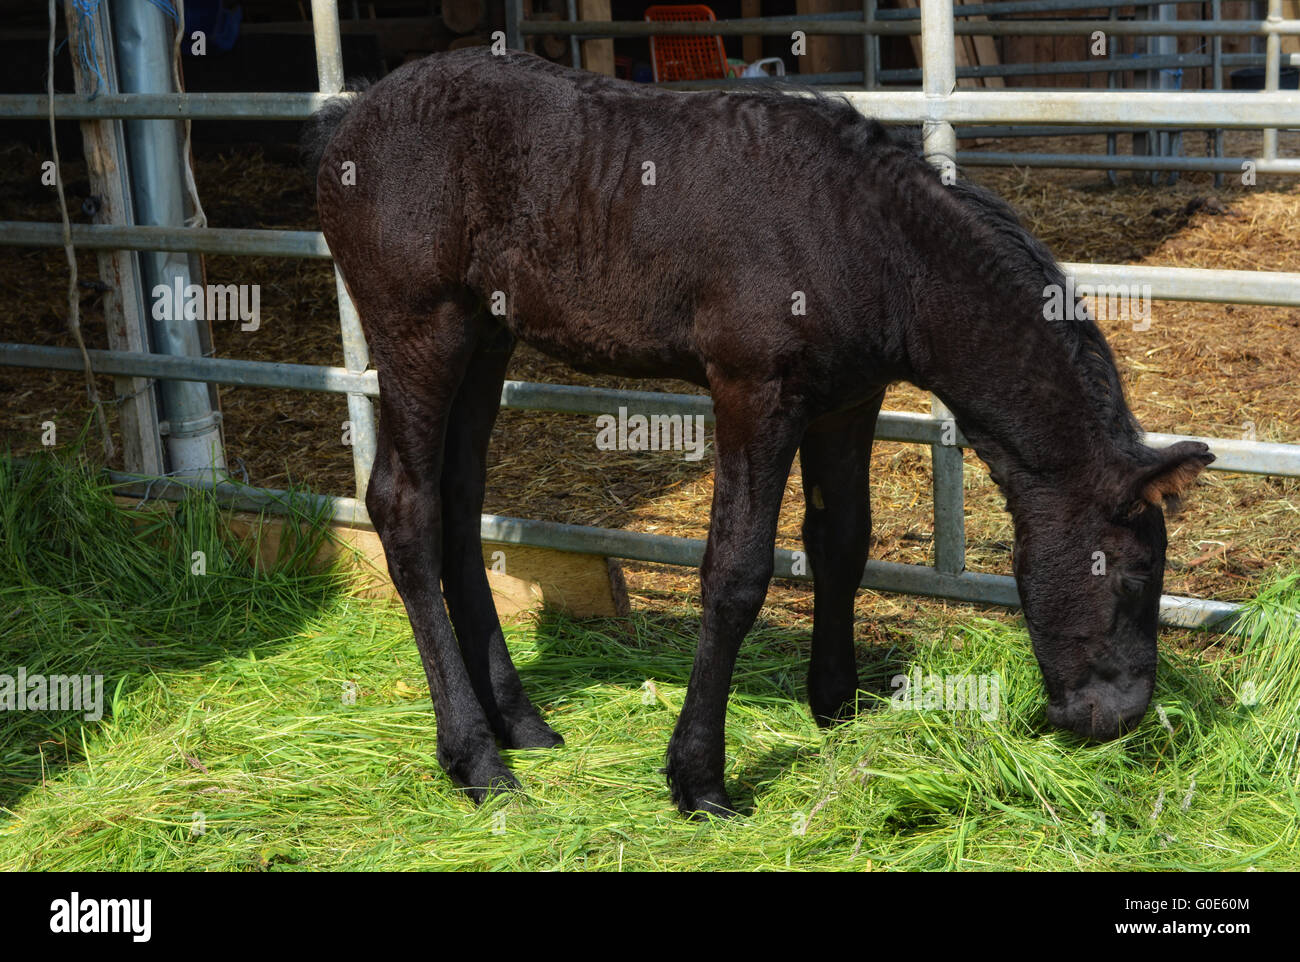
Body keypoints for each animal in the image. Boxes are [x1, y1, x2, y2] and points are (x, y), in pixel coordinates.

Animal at [304, 48, 1214, 817]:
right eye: (1134, 577)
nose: (1117, 716)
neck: (870, 240)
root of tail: (349, 120)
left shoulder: (848, 398)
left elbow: (843, 540)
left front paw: (839, 703)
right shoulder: (753, 391)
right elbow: (737, 572)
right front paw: (697, 778)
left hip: (488, 336)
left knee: (459, 502)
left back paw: (519, 721)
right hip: (421, 327)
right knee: (405, 505)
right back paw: (476, 760)